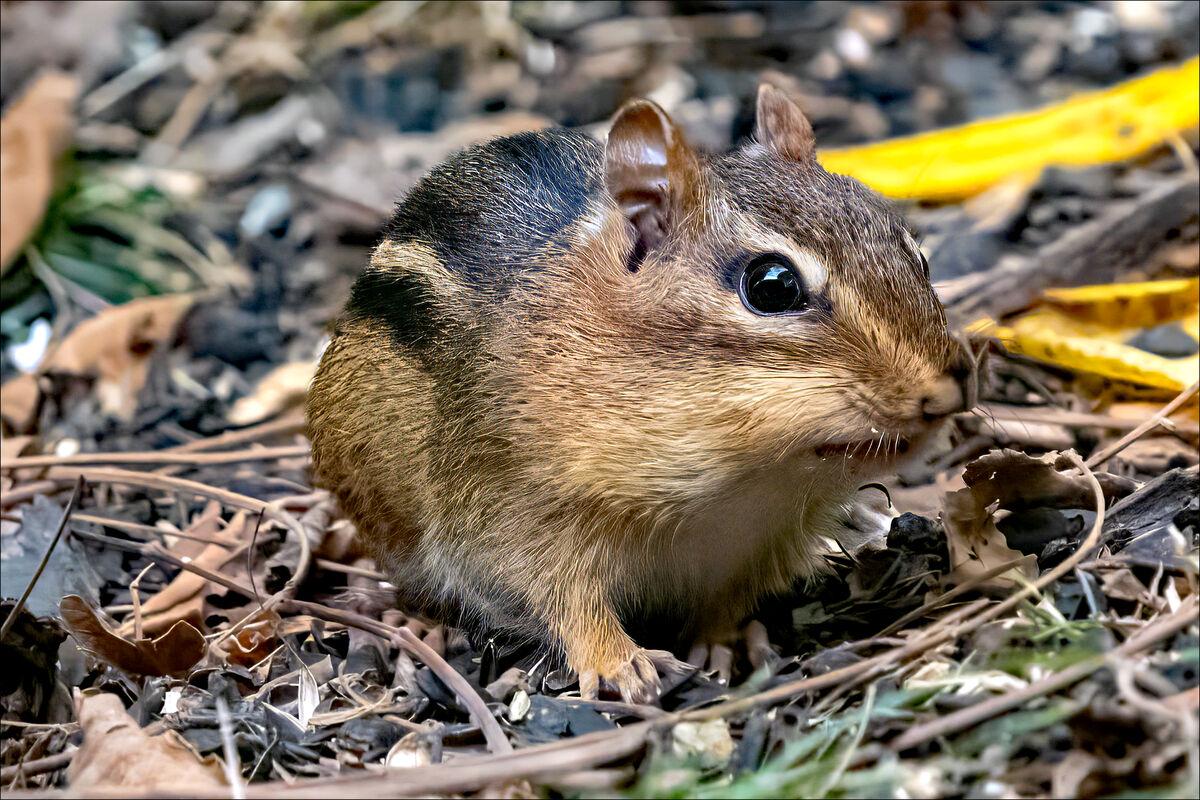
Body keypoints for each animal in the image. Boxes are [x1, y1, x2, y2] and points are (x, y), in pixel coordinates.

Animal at [306, 84, 970, 703]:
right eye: (772, 285)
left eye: (914, 250)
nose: (948, 386)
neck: (736, 483)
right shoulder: (508, 513)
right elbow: (565, 599)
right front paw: (617, 662)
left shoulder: (759, 546)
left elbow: (727, 604)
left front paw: (727, 643)